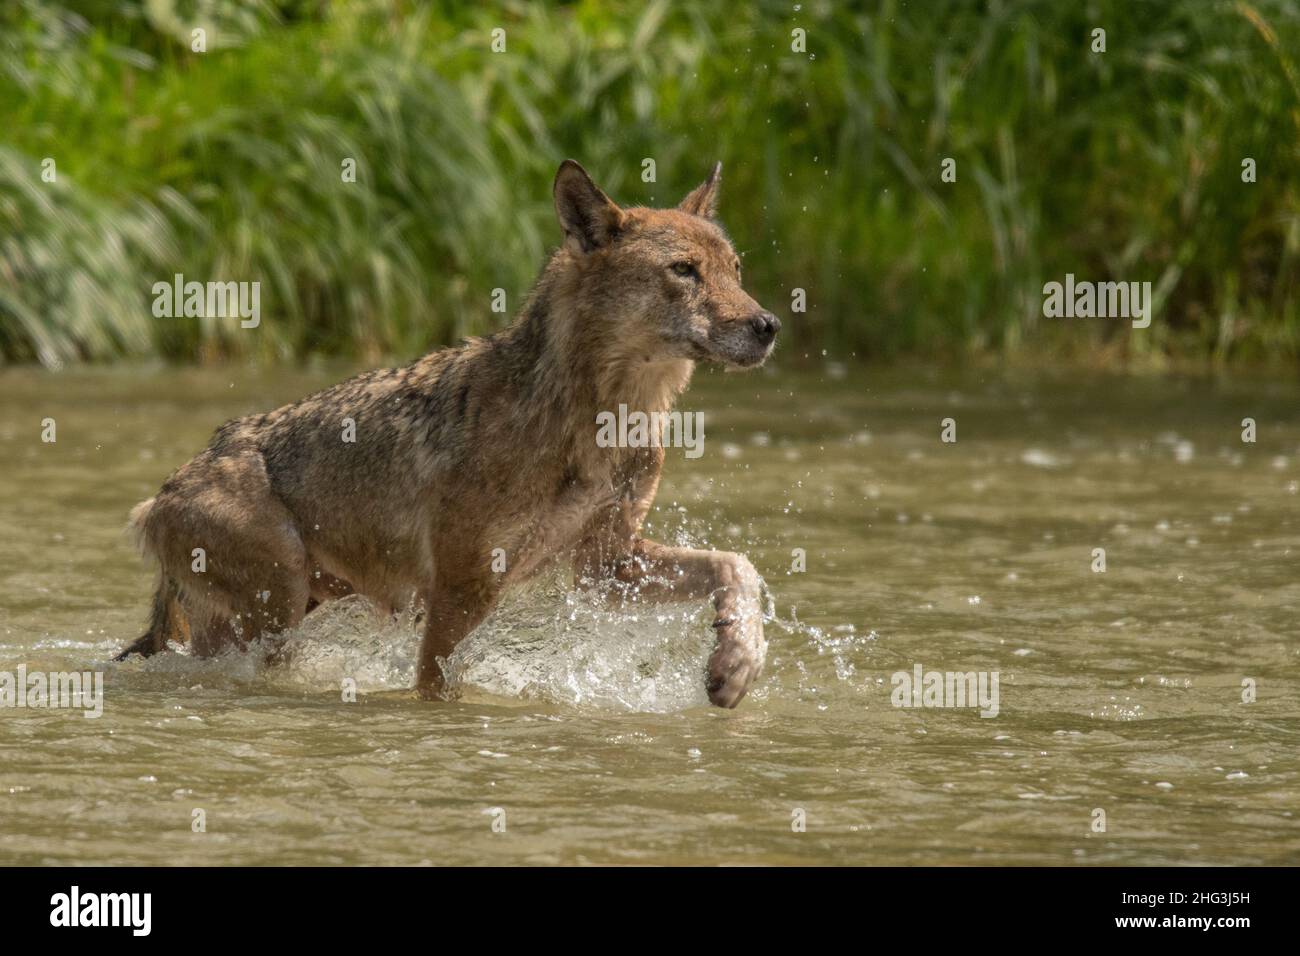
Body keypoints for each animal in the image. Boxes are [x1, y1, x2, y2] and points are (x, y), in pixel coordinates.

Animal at [116, 160, 780, 707]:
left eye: (736, 270)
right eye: (684, 271)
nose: (769, 324)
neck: (604, 419)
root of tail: (159, 496)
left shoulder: (605, 569)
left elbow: (739, 566)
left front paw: (737, 662)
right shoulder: (461, 591)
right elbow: (436, 688)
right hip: (275, 607)